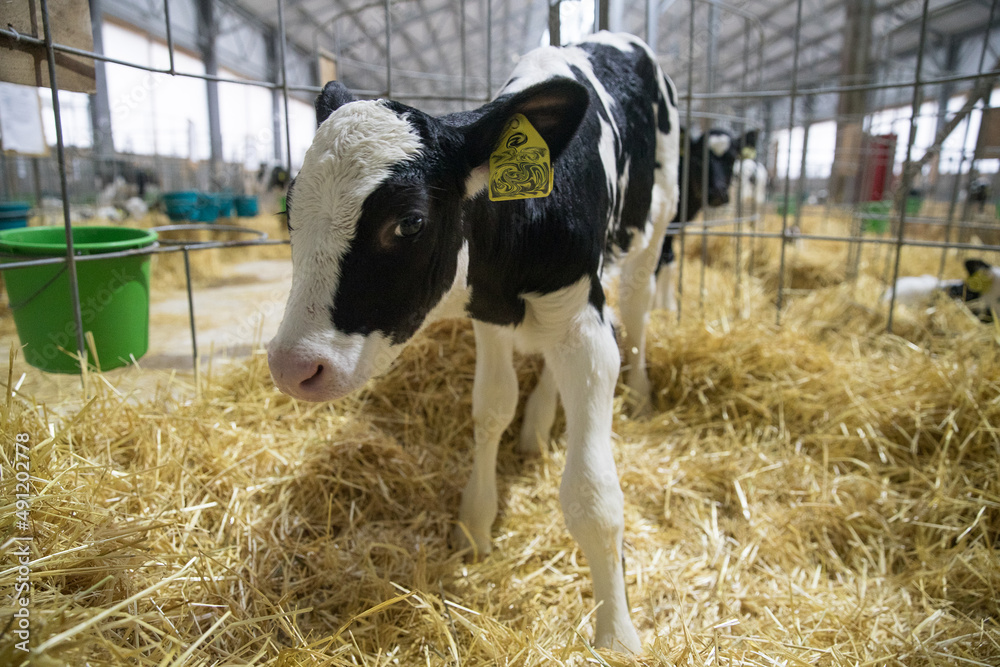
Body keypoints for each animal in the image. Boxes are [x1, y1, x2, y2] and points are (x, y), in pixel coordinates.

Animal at [266, 32, 680, 652]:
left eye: (409, 222)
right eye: (290, 210)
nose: (293, 366)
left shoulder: (585, 326)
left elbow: (592, 495)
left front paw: (617, 634)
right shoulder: (490, 311)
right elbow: (491, 407)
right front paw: (475, 523)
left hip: (657, 219)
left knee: (638, 302)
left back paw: (642, 393)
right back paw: (537, 427)